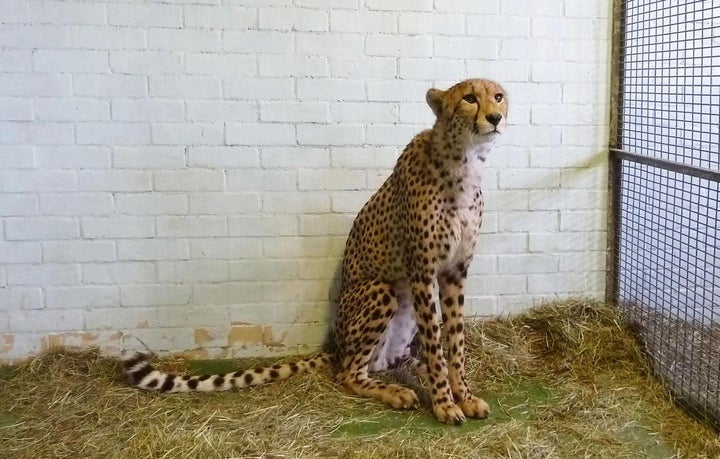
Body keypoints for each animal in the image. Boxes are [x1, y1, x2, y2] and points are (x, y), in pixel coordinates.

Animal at [124, 78, 508, 425]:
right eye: (470, 98)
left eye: (499, 96)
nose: (495, 117)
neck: (464, 161)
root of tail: (336, 348)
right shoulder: (423, 272)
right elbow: (437, 344)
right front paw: (445, 403)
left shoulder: (455, 271)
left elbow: (454, 341)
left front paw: (463, 395)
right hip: (381, 291)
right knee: (350, 374)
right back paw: (396, 391)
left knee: (386, 362)